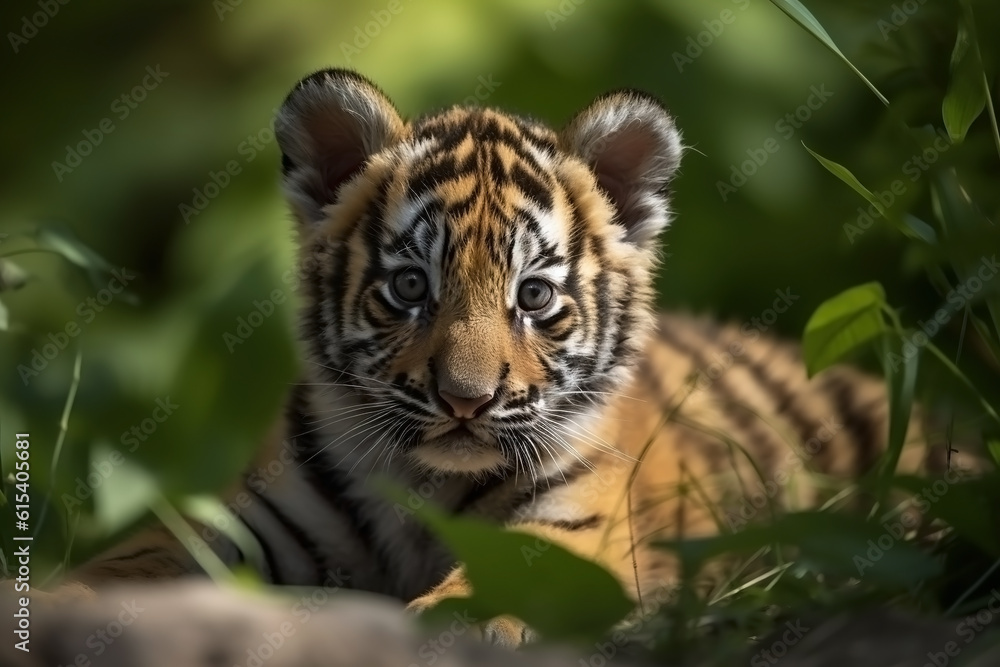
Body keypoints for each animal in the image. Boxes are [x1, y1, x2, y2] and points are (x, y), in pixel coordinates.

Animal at [44, 68, 975, 647]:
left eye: (532, 295)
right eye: (409, 286)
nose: (466, 399)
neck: (427, 483)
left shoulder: (573, 525)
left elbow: (500, 578)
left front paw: (447, 623)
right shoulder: (247, 516)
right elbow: (133, 560)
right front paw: (62, 601)